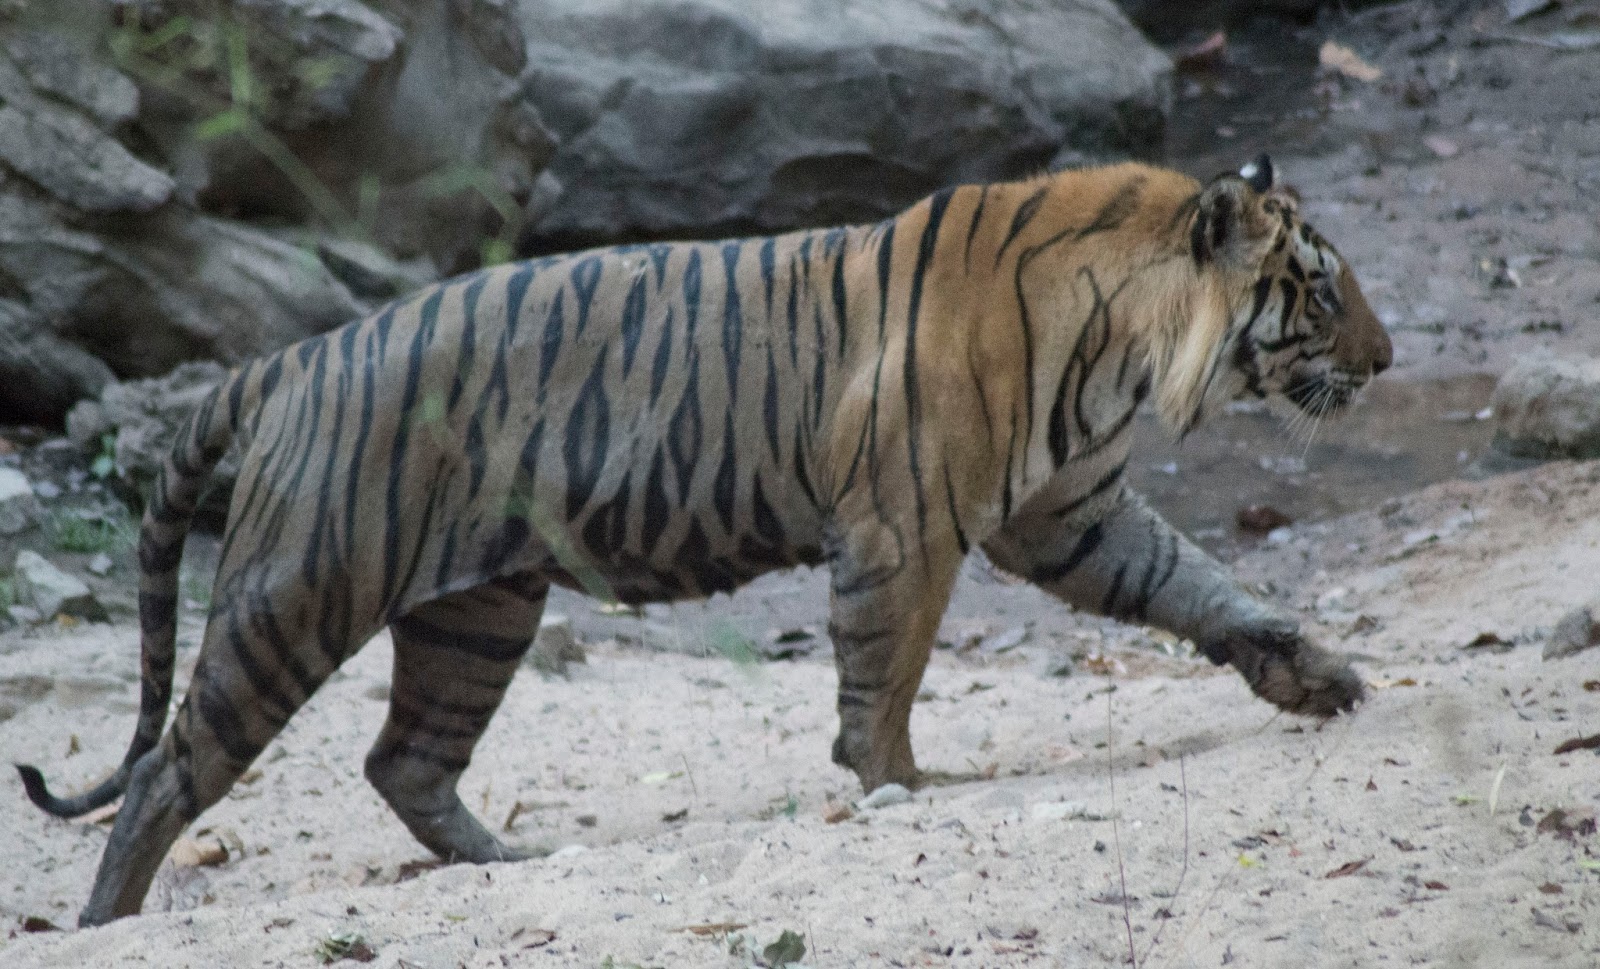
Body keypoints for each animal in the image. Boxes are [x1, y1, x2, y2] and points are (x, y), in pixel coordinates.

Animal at [18, 154, 1391, 925]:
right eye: (1321, 287)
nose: (1385, 360)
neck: (1124, 341)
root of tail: (291, 360)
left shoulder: (1073, 512)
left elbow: (1199, 586)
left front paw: (1317, 678)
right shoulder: (905, 526)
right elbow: (884, 676)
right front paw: (895, 788)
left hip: (478, 611)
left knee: (403, 760)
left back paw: (512, 862)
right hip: (297, 594)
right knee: (168, 770)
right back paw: (105, 925)